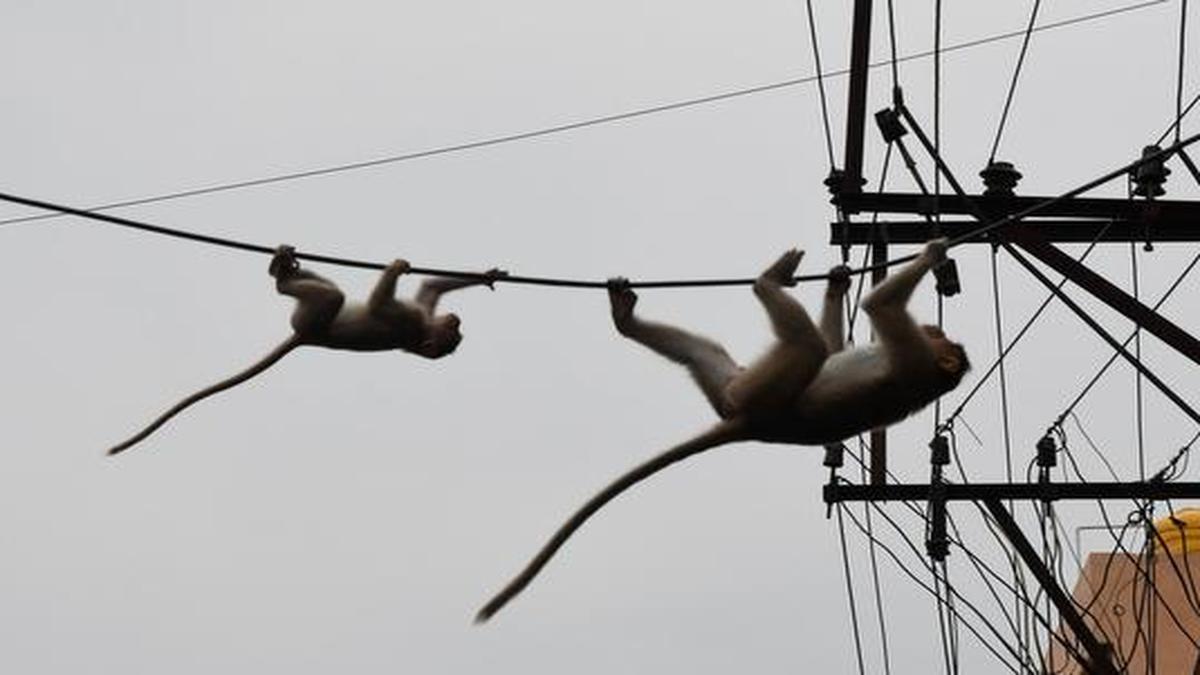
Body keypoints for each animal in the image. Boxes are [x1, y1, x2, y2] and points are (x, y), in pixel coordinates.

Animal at [107, 245, 505, 456]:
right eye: (456, 330)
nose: (456, 323)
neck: (422, 331)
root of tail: (304, 338)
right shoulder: (419, 317)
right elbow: (428, 289)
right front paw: (486, 276)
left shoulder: (411, 324)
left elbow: (379, 305)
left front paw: (396, 268)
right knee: (331, 289)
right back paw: (284, 264)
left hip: (311, 318)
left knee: (333, 297)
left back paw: (281, 278)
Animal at [476, 239, 968, 622]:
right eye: (942, 334)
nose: (934, 328)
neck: (933, 371)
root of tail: (749, 424)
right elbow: (838, 345)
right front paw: (838, 281)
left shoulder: (915, 360)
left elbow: (878, 308)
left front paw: (933, 252)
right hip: (738, 389)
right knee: (719, 352)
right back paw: (627, 319)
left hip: (764, 393)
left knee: (806, 346)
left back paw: (766, 281)